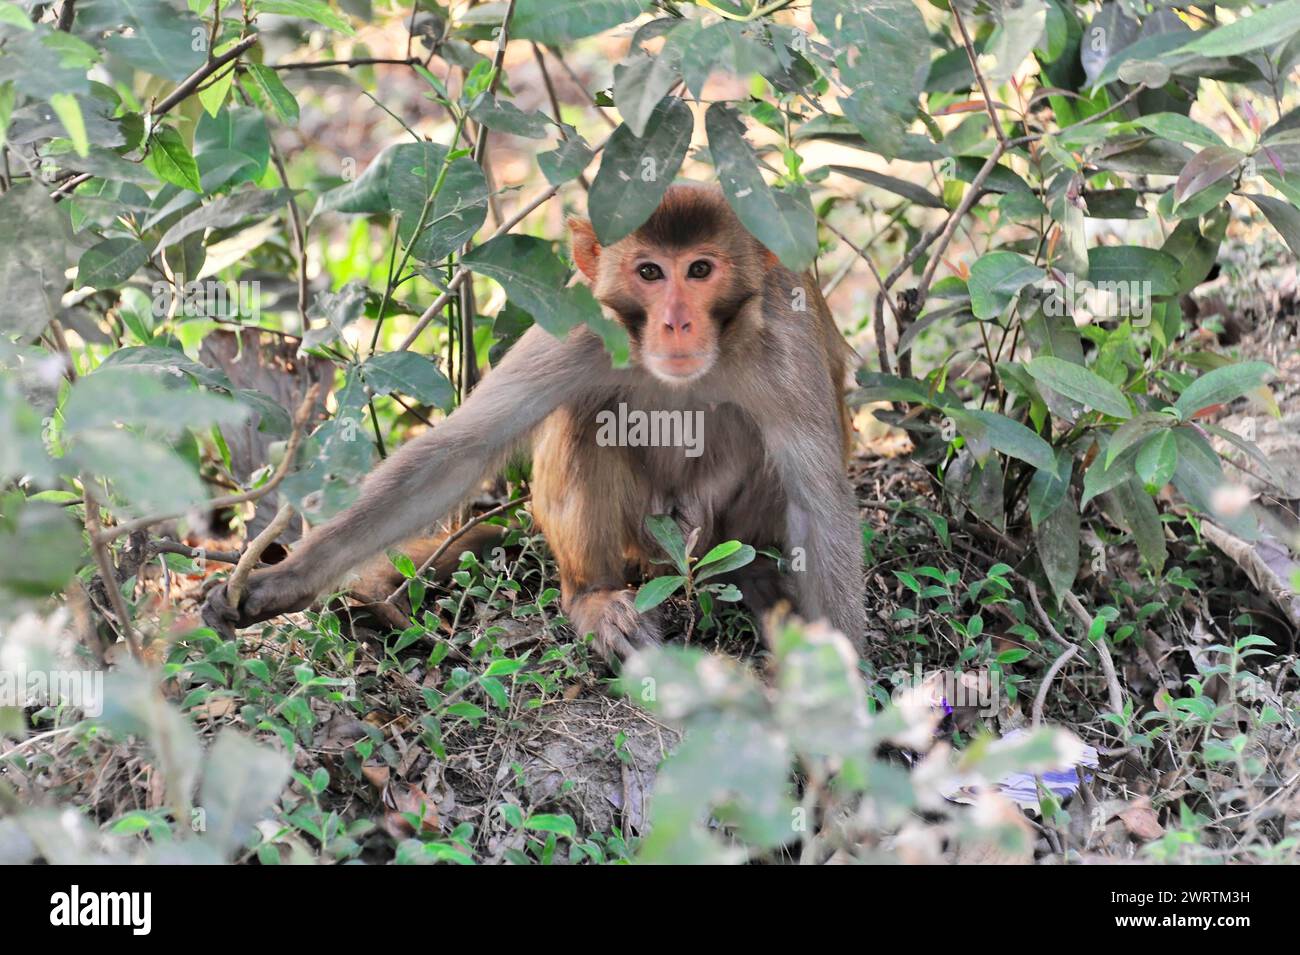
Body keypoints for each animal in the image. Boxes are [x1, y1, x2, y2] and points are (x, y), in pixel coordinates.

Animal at [204, 183, 867, 662]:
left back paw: (756, 578)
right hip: (644, 540)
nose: (676, 323)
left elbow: (820, 504)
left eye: (700, 270)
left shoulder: (784, 348)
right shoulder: (579, 323)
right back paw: (595, 599)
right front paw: (280, 582)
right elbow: (460, 451)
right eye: (650, 273)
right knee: (587, 416)